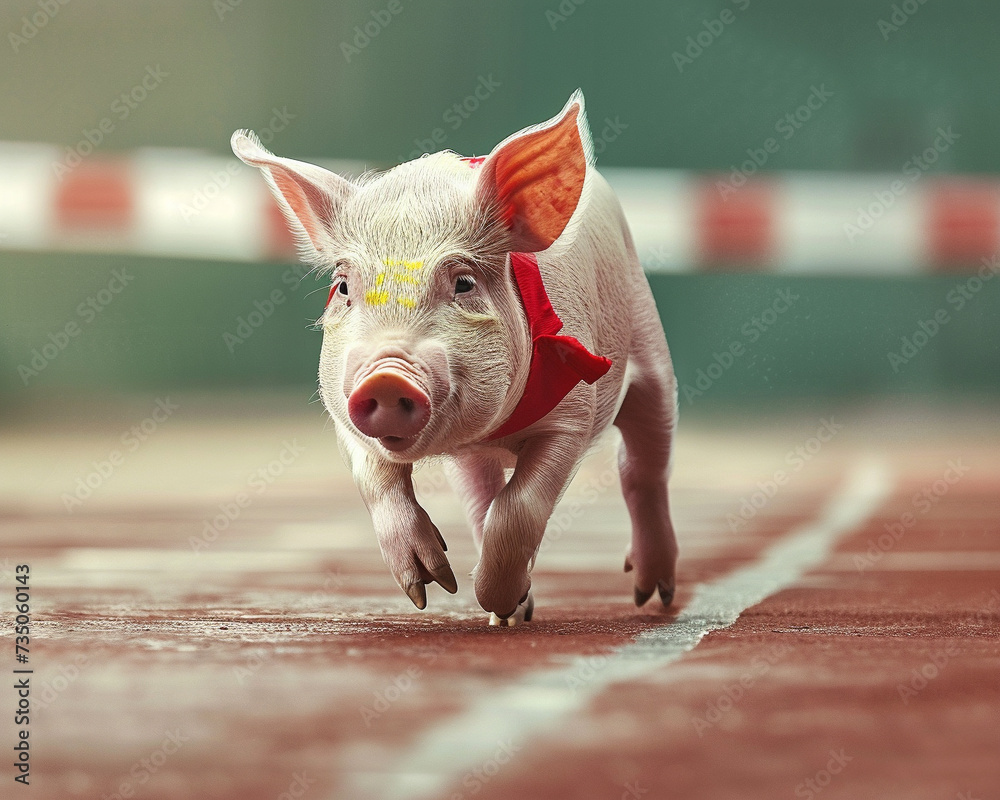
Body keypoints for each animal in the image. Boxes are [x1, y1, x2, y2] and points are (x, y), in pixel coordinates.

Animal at [231, 90, 678, 625]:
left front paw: (493, 598)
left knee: (643, 466)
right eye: (342, 287)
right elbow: (379, 480)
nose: (386, 377)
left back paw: (652, 597)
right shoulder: (342, 408)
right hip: (469, 457)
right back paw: (508, 616)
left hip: (651, 347)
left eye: (463, 282)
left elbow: (521, 506)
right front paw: (431, 591)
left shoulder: (573, 414)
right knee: (480, 496)